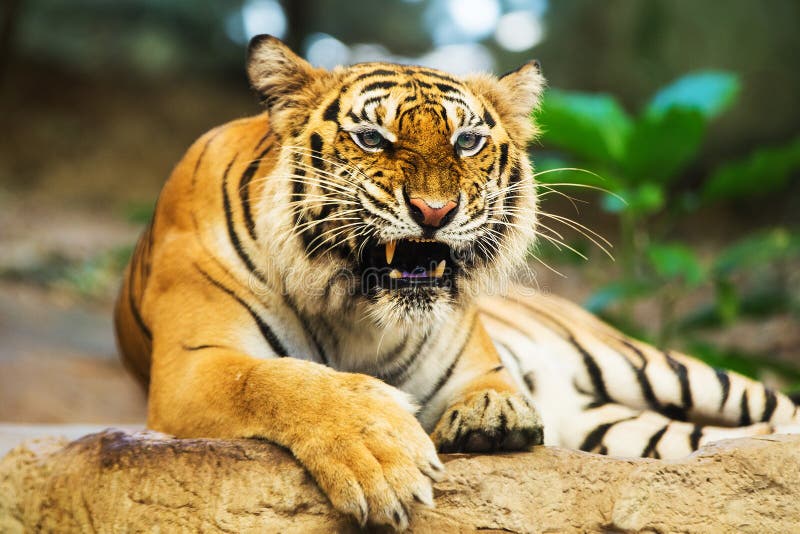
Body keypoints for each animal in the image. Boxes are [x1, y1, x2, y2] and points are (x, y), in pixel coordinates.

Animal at [114, 34, 800, 530]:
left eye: (467, 141)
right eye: (372, 137)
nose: (435, 211)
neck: (353, 314)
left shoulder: (478, 362)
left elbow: (492, 389)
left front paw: (491, 417)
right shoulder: (192, 365)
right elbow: (282, 381)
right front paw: (379, 456)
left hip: (659, 368)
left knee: (775, 412)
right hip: (620, 426)